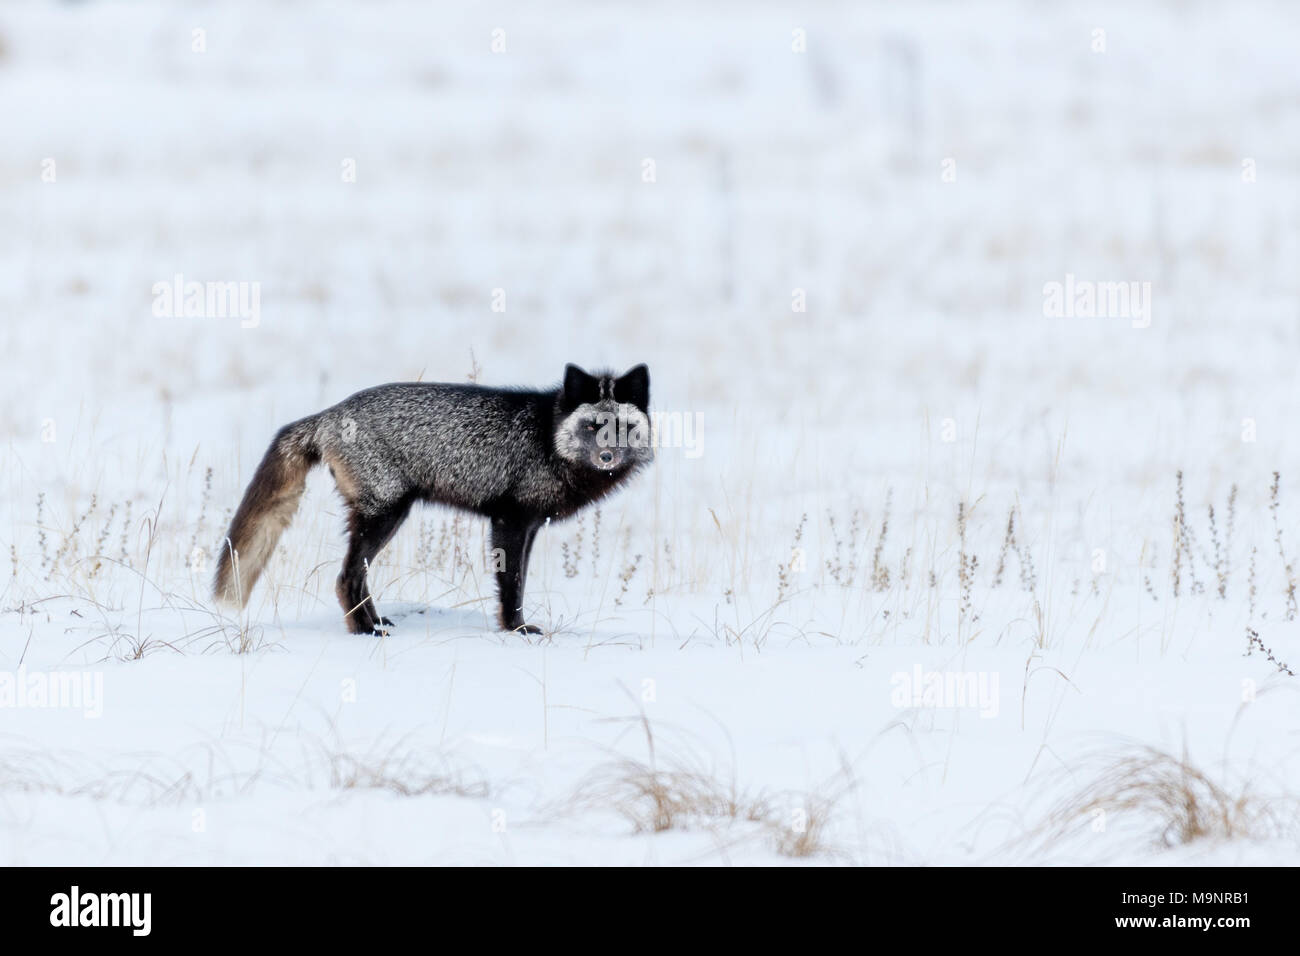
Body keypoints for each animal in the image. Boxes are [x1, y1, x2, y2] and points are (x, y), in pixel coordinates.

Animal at [213, 364, 652, 634]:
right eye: (592, 426)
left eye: (622, 427)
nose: (607, 457)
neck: (547, 438)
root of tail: (330, 413)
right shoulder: (509, 520)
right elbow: (512, 586)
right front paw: (516, 631)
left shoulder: (528, 526)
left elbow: (518, 582)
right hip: (385, 513)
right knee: (346, 577)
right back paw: (364, 632)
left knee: (357, 576)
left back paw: (375, 622)